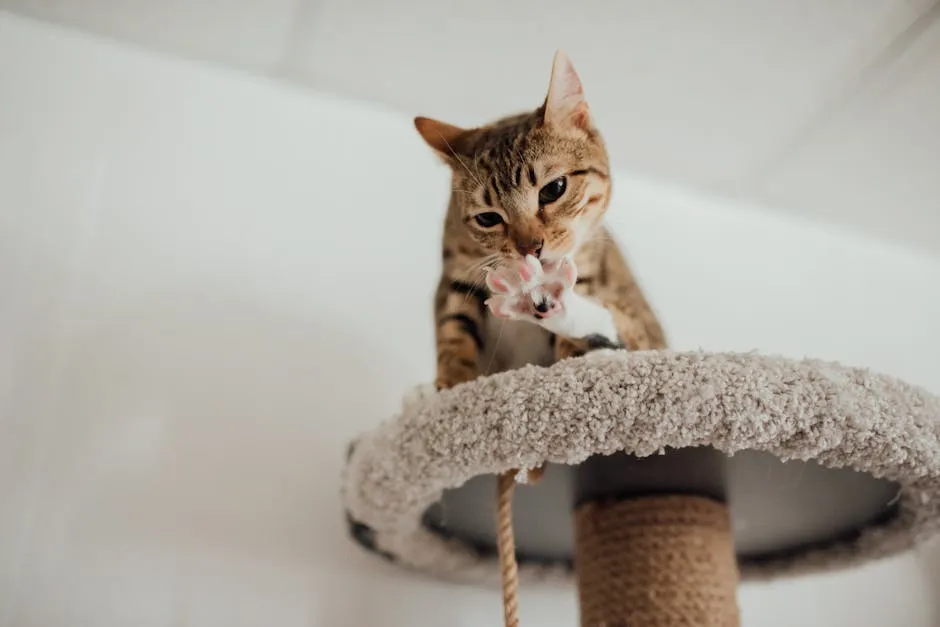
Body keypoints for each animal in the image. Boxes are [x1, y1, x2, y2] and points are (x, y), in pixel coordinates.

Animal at [414, 50, 664, 392]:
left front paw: (554, 302)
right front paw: (450, 387)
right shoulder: (456, 275)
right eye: (487, 217)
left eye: (553, 189)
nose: (530, 248)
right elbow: (454, 331)